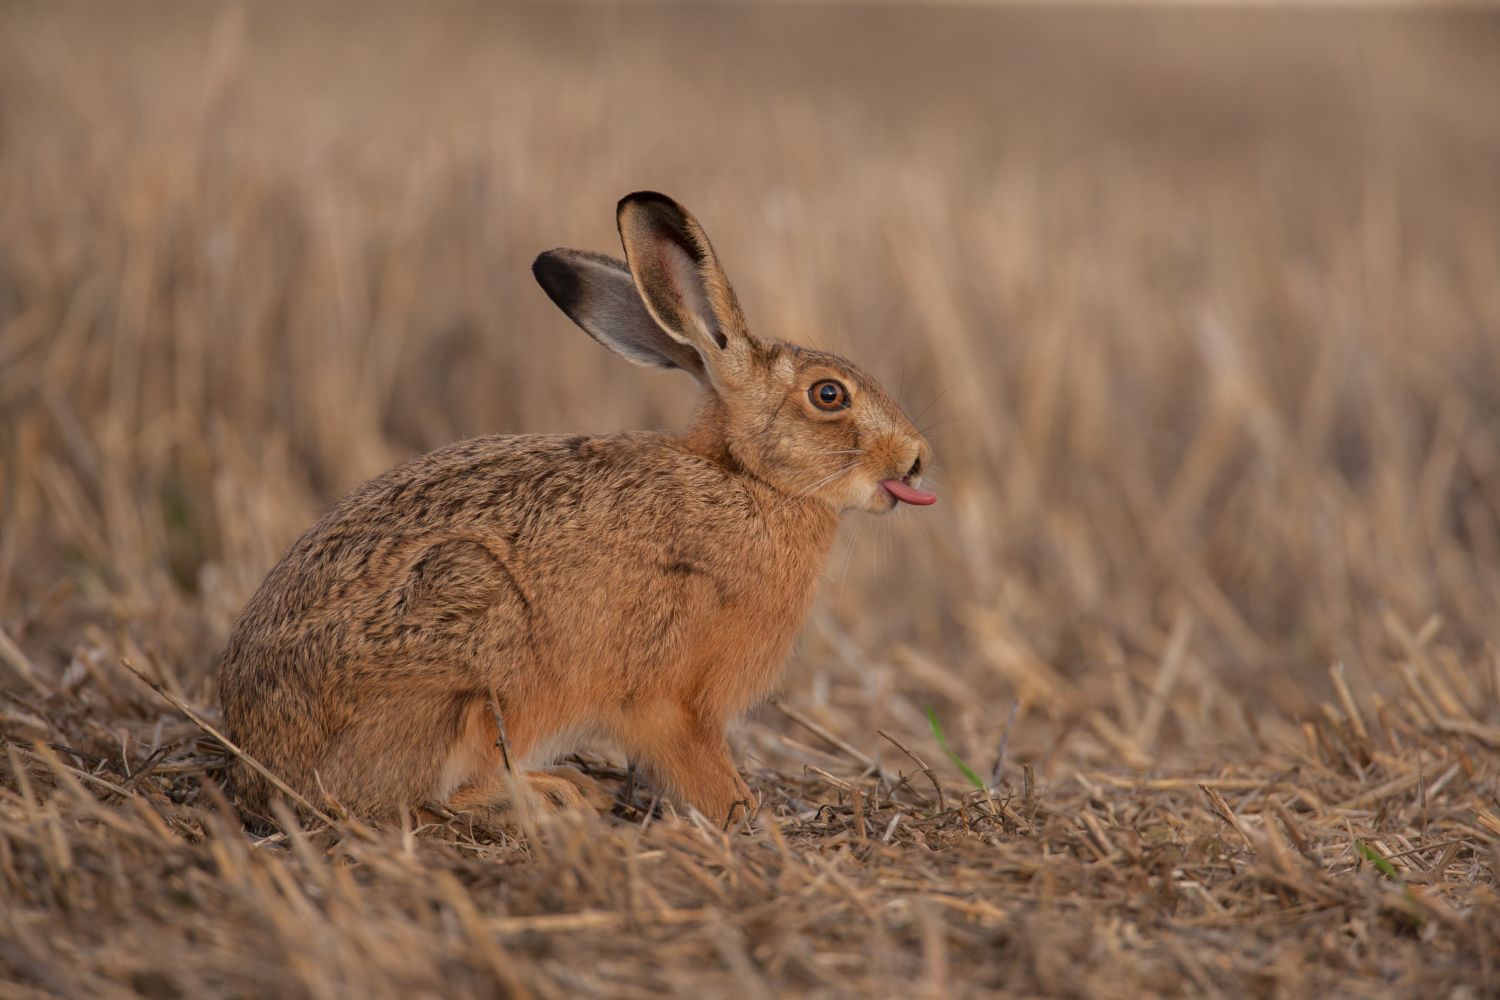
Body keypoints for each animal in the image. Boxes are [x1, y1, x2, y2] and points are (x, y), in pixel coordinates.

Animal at [216, 192, 936, 829]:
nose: (917, 459)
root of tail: (260, 765)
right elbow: (704, 769)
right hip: (473, 660)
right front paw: (748, 816)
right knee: (432, 793)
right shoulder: (671, 701)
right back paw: (554, 795)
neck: (750, 481)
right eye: (828, 395)